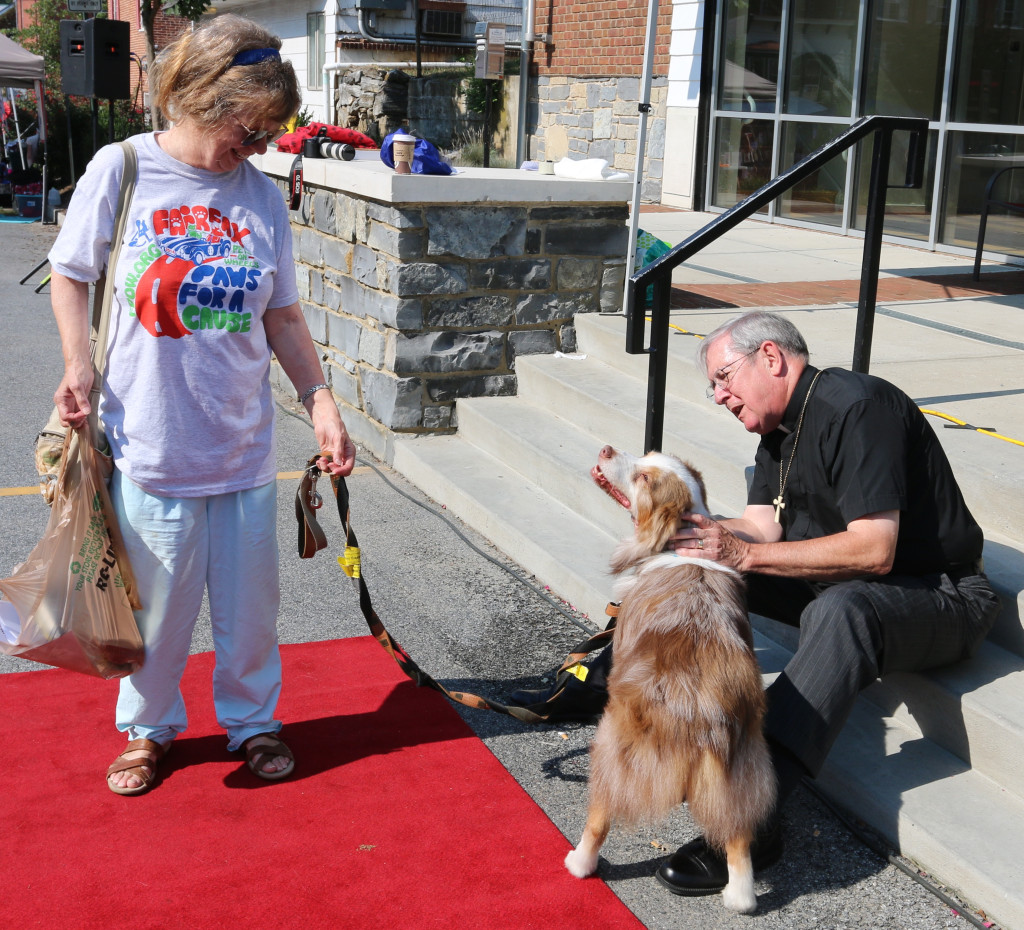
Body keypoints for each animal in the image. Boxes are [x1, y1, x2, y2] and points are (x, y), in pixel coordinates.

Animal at [561, 446, 774, 913]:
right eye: (647, 455)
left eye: (643, 478)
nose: (606, 449)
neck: (678, 545)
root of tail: (701, 709)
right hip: (741, 770)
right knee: (738, 837)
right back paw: (740, 897)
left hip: (613, 748)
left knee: (599, 818)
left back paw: (579, 862)